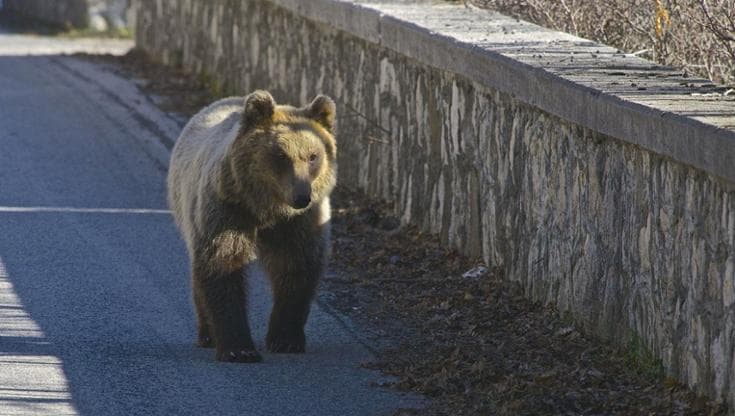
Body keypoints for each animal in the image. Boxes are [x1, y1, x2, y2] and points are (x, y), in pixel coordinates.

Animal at [167, 90, 337, 363]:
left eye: (313, 156)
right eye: (281, 155)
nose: (302, 197)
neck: (267, 209)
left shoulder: (300, 223)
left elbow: (297, 267)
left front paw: (285, 339)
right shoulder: (228, 209)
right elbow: (223, 264)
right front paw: (238, 347)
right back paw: (207, 334)